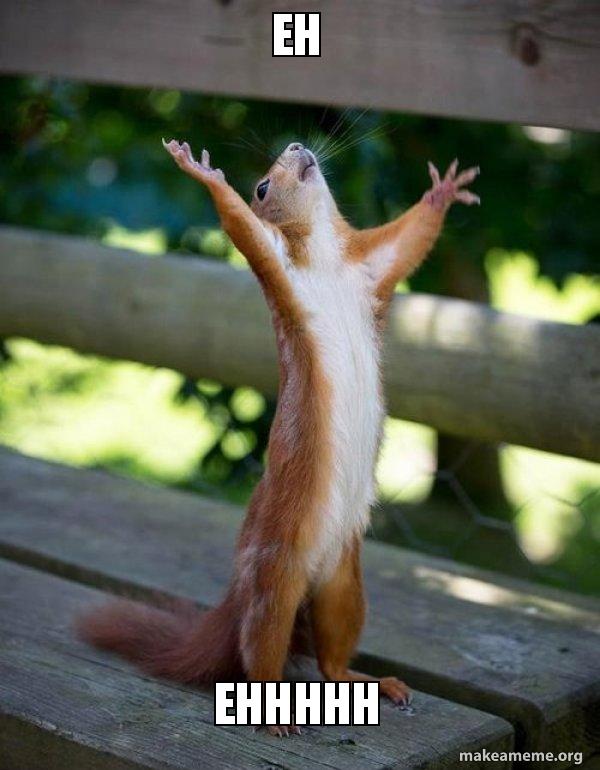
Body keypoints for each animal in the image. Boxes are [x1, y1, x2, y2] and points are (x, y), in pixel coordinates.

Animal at [79, 138, 479, 737]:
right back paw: (274, 714)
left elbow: (408, 241)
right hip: (275, 577)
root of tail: (239, 593)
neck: (327, 258)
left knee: (332, 658)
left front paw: (443, 191)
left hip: (344, 584)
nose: (296, 146)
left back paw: (370, 681)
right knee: (260, 648)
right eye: (262, 186)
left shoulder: (371, 267)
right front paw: (204, 174)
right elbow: (242, 227)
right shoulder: (278, 266)